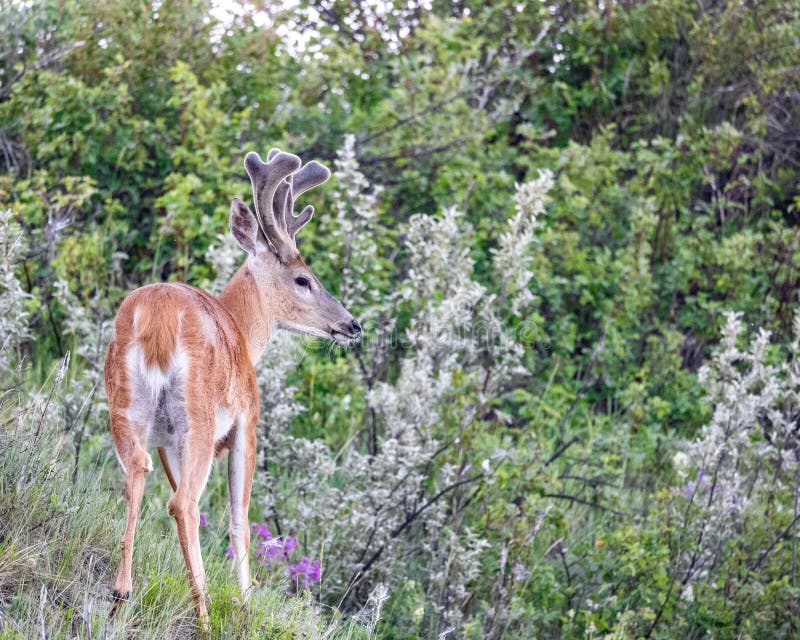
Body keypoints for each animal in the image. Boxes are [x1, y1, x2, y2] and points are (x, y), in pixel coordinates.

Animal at [104, 148, 361, 625]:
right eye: (304, 278)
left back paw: (121, 593)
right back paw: (204, 613)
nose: (352, 324)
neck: (241, 328)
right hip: (199, 414)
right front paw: (246, 600)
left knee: (137, 473)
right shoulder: (247, 421)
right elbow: (240, 520)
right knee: (185, 504)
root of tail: (157, 319)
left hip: (126, 405)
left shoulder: (167, 441)